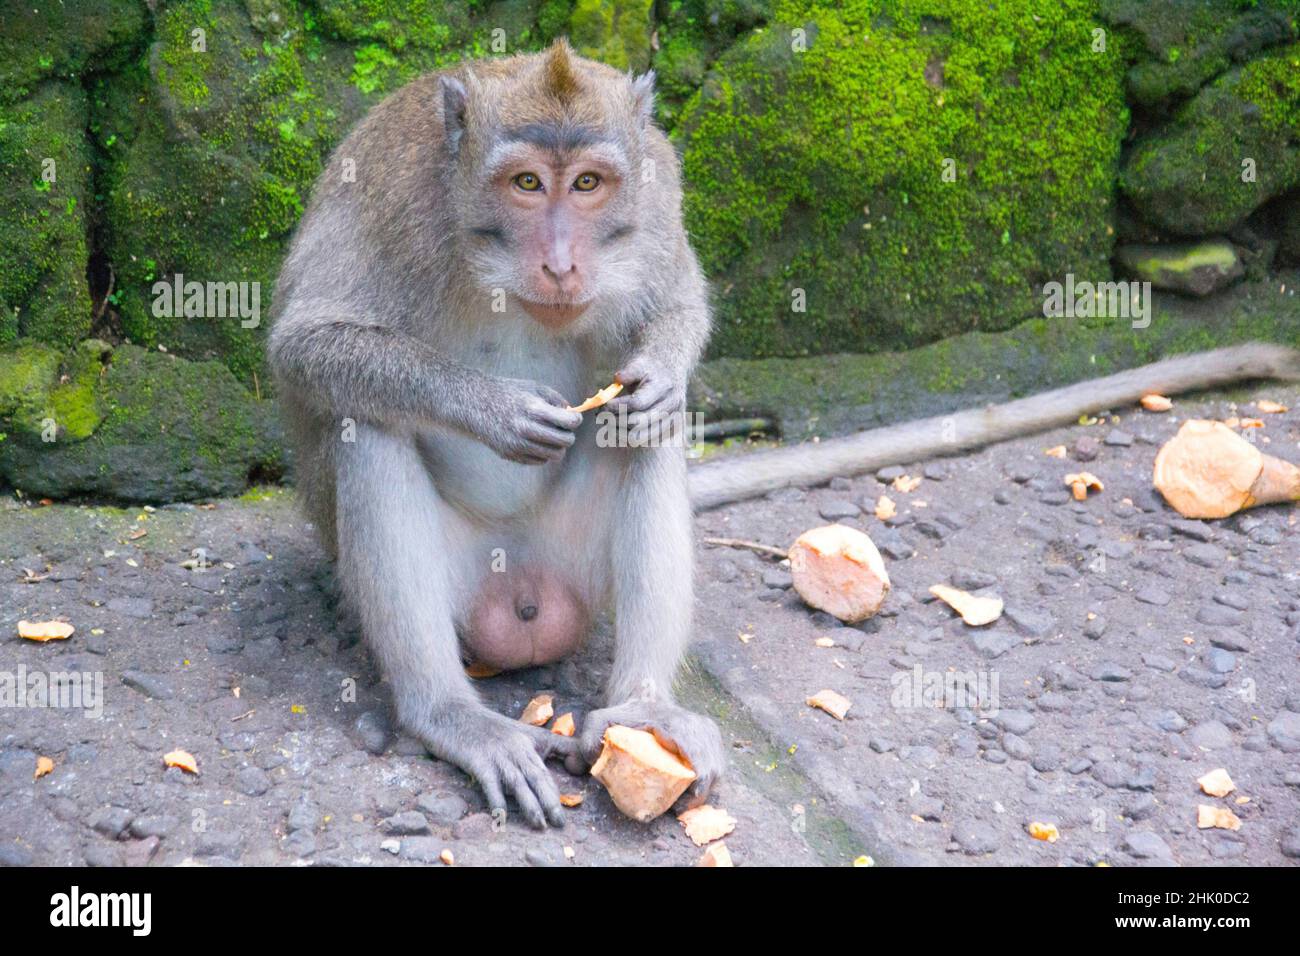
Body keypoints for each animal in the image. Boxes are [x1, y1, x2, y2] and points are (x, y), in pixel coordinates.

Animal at [268, 39, 723, 829]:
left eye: (589, 183)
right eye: (527, 183)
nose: (562, 264)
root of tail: (524, 596)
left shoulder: (658, 195)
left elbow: (677, 301)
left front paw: (661, 376)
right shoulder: (389, 203)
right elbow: (305, 343)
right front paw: (493, 408)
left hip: (571, 563)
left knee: (641, 437)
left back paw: (643, 707)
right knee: (370, 428)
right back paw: (450, 715)